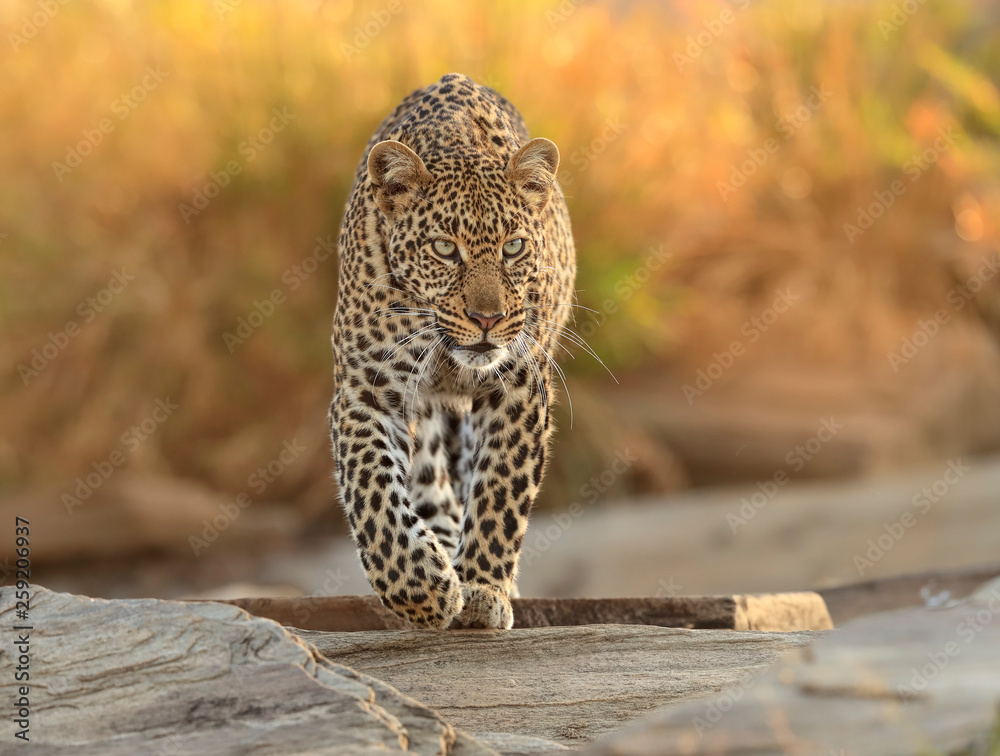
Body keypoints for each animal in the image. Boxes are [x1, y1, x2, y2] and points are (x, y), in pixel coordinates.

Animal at [329, 73, 575, 630]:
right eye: (444, 249)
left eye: (513, 247)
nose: (487, 319)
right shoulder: (366, 390)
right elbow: (373, 494)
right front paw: (424, 589)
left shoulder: (519, 385)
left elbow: (500, 489)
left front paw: (482, 588)